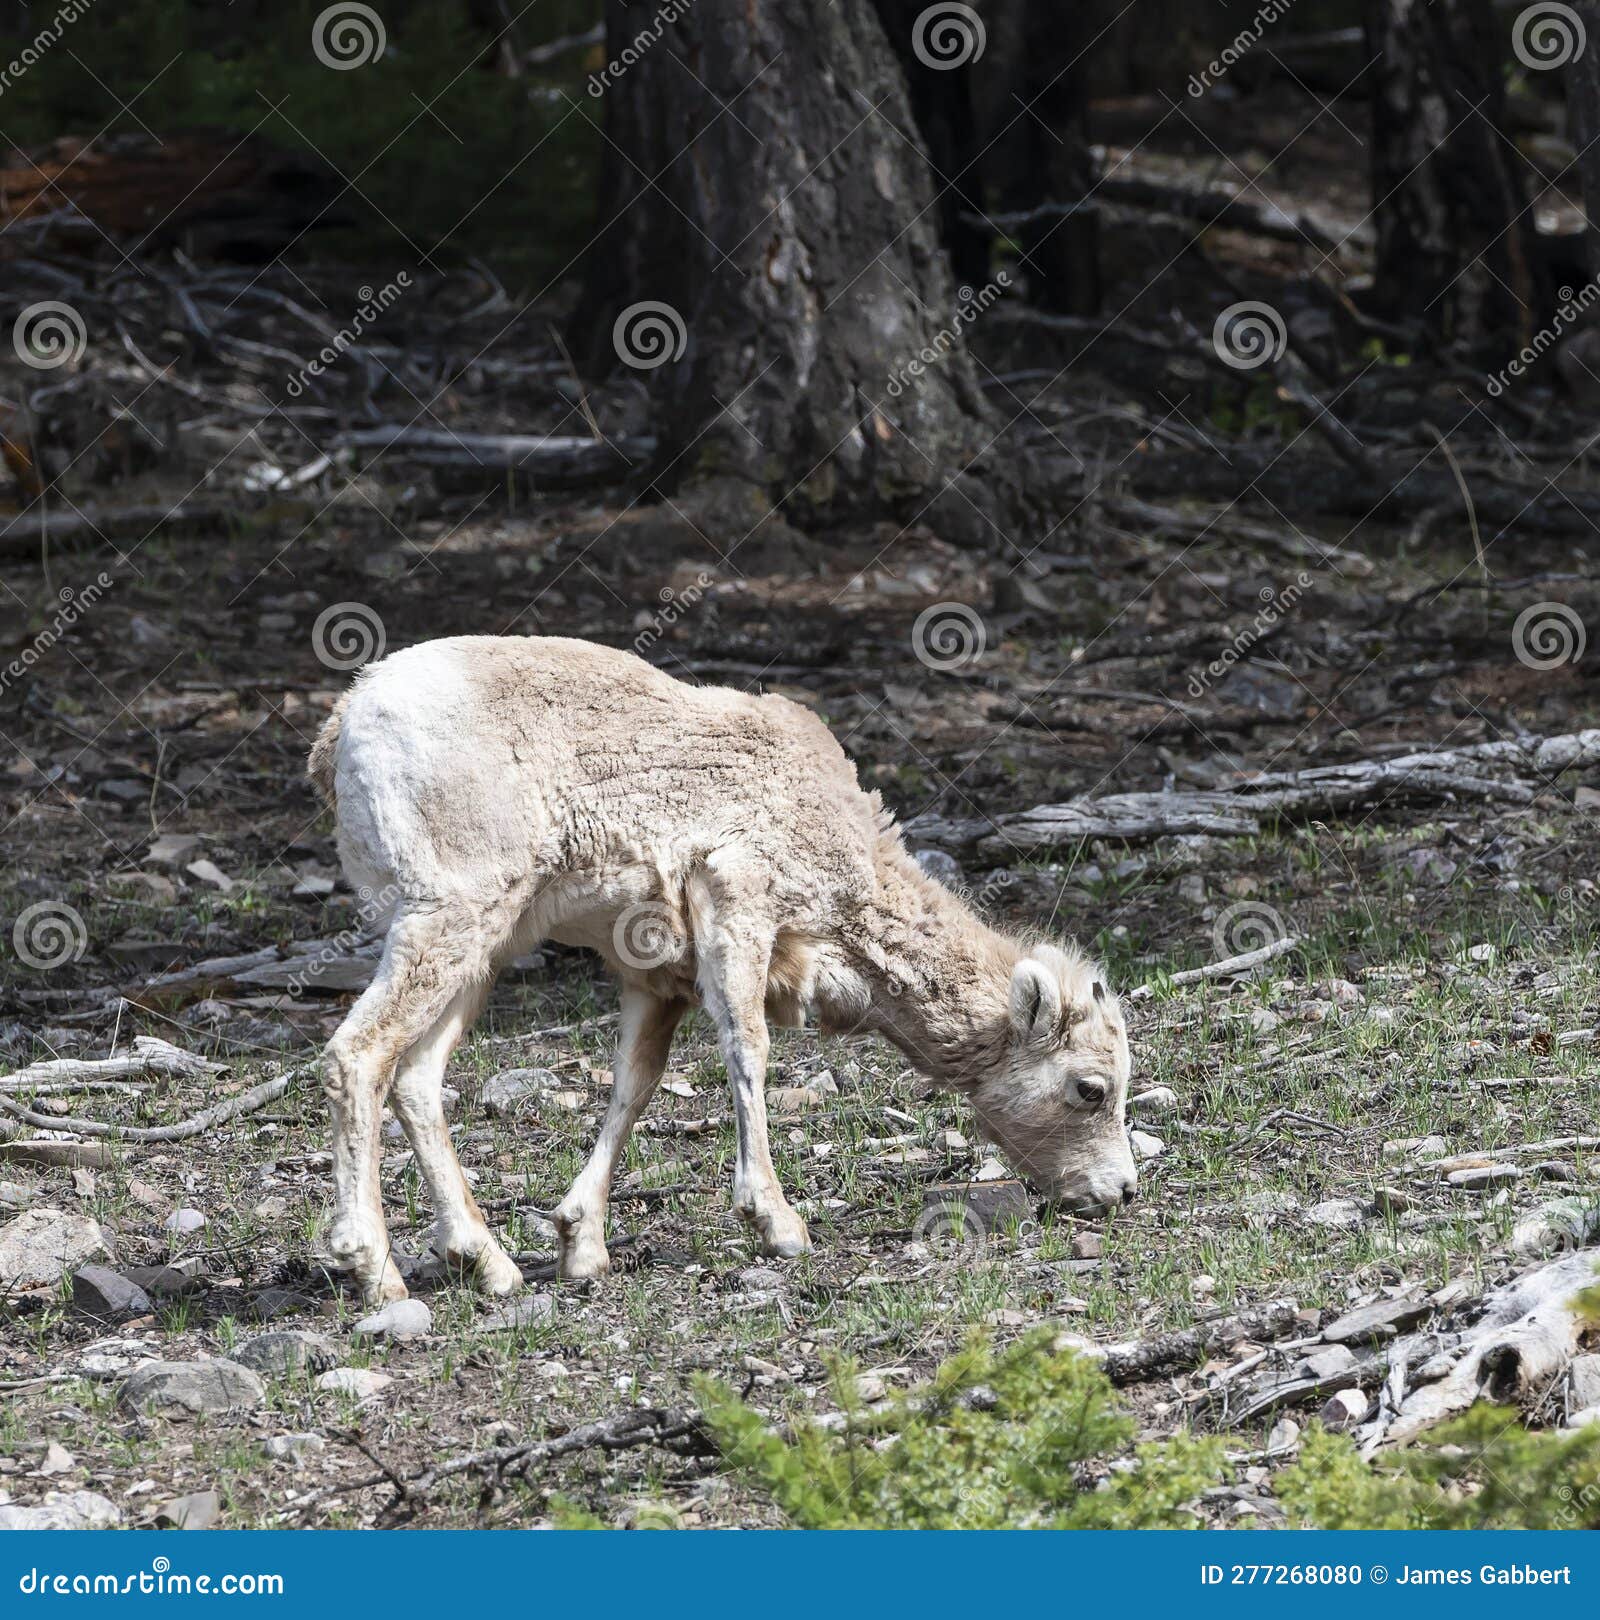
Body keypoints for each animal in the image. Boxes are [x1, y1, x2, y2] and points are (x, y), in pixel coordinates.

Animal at [308, 635, 1135, 1303]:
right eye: (1091, 1089)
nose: (1121, 1191)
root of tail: (345, 725)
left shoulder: (654, 978)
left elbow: (634, 1086)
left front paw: (583, 1247)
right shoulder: (738, 902)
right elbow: (748, 1048)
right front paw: (777, 1223)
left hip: (481, 950)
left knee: (416, 1077)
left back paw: (491, 1265)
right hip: (446, 916)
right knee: (356, 1055)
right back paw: (375, 1271)